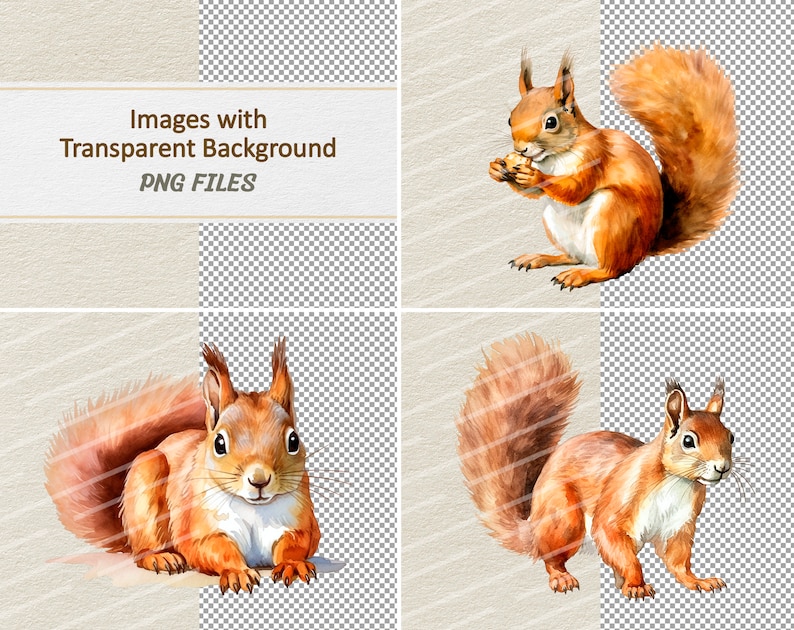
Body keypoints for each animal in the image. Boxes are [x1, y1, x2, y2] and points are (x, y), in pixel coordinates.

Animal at [45, 338, 320, 594]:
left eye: (293, 440)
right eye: (220, 443)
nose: (259, 480)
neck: (254, 510)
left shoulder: (300, 522)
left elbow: (297, 543)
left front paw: (293, 565)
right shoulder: (197, 525)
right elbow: (213, 548)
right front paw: (237, 571)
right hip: (146, 478)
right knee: (141, 550)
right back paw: (160, 557)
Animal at [456, 333, 735, 599]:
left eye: (731, 436)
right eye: (688, 441)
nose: (722, 467)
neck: (677, 482)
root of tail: (533, 526)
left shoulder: (678, 525)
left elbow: (678, 561)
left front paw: (698, 581)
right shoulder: (618, 504)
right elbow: (613, 540)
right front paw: (637, 585)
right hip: (564, 518)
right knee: (552, 557)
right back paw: (563, 577)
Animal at [489, 45, 739, 289]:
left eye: (551, 122)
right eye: (510, 119)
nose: (520, 149)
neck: (553, 157)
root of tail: (644, 248)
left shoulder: (596, 157)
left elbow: (575, 190)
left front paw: (535, 176)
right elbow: (534, 193)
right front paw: (496, 168)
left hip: (613, 218)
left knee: (613, 270)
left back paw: (581, 275)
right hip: (556, 223)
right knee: (573, 257)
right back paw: (542, 258)